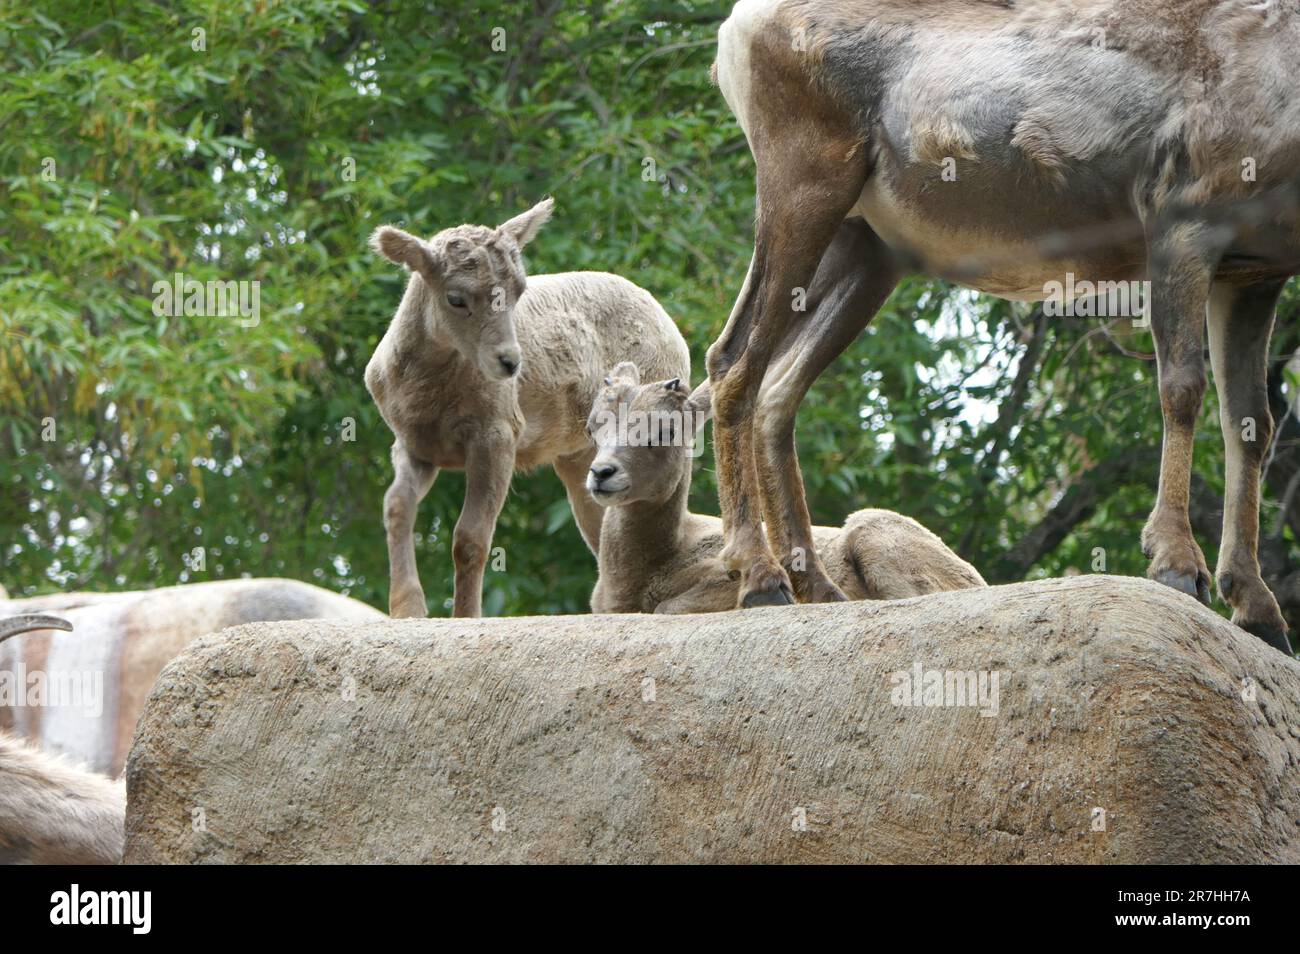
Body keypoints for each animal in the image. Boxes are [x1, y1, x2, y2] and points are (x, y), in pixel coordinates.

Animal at [366, 198, 690, 617]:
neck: (429, 393)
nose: (509, 362)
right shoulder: (414, 444)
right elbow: (396, 507)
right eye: (456, 298)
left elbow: (470, 537)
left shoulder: (498, 436)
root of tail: (673, 329)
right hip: (577, 461)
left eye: (518, 290)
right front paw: (407, 611)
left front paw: (466, 615)